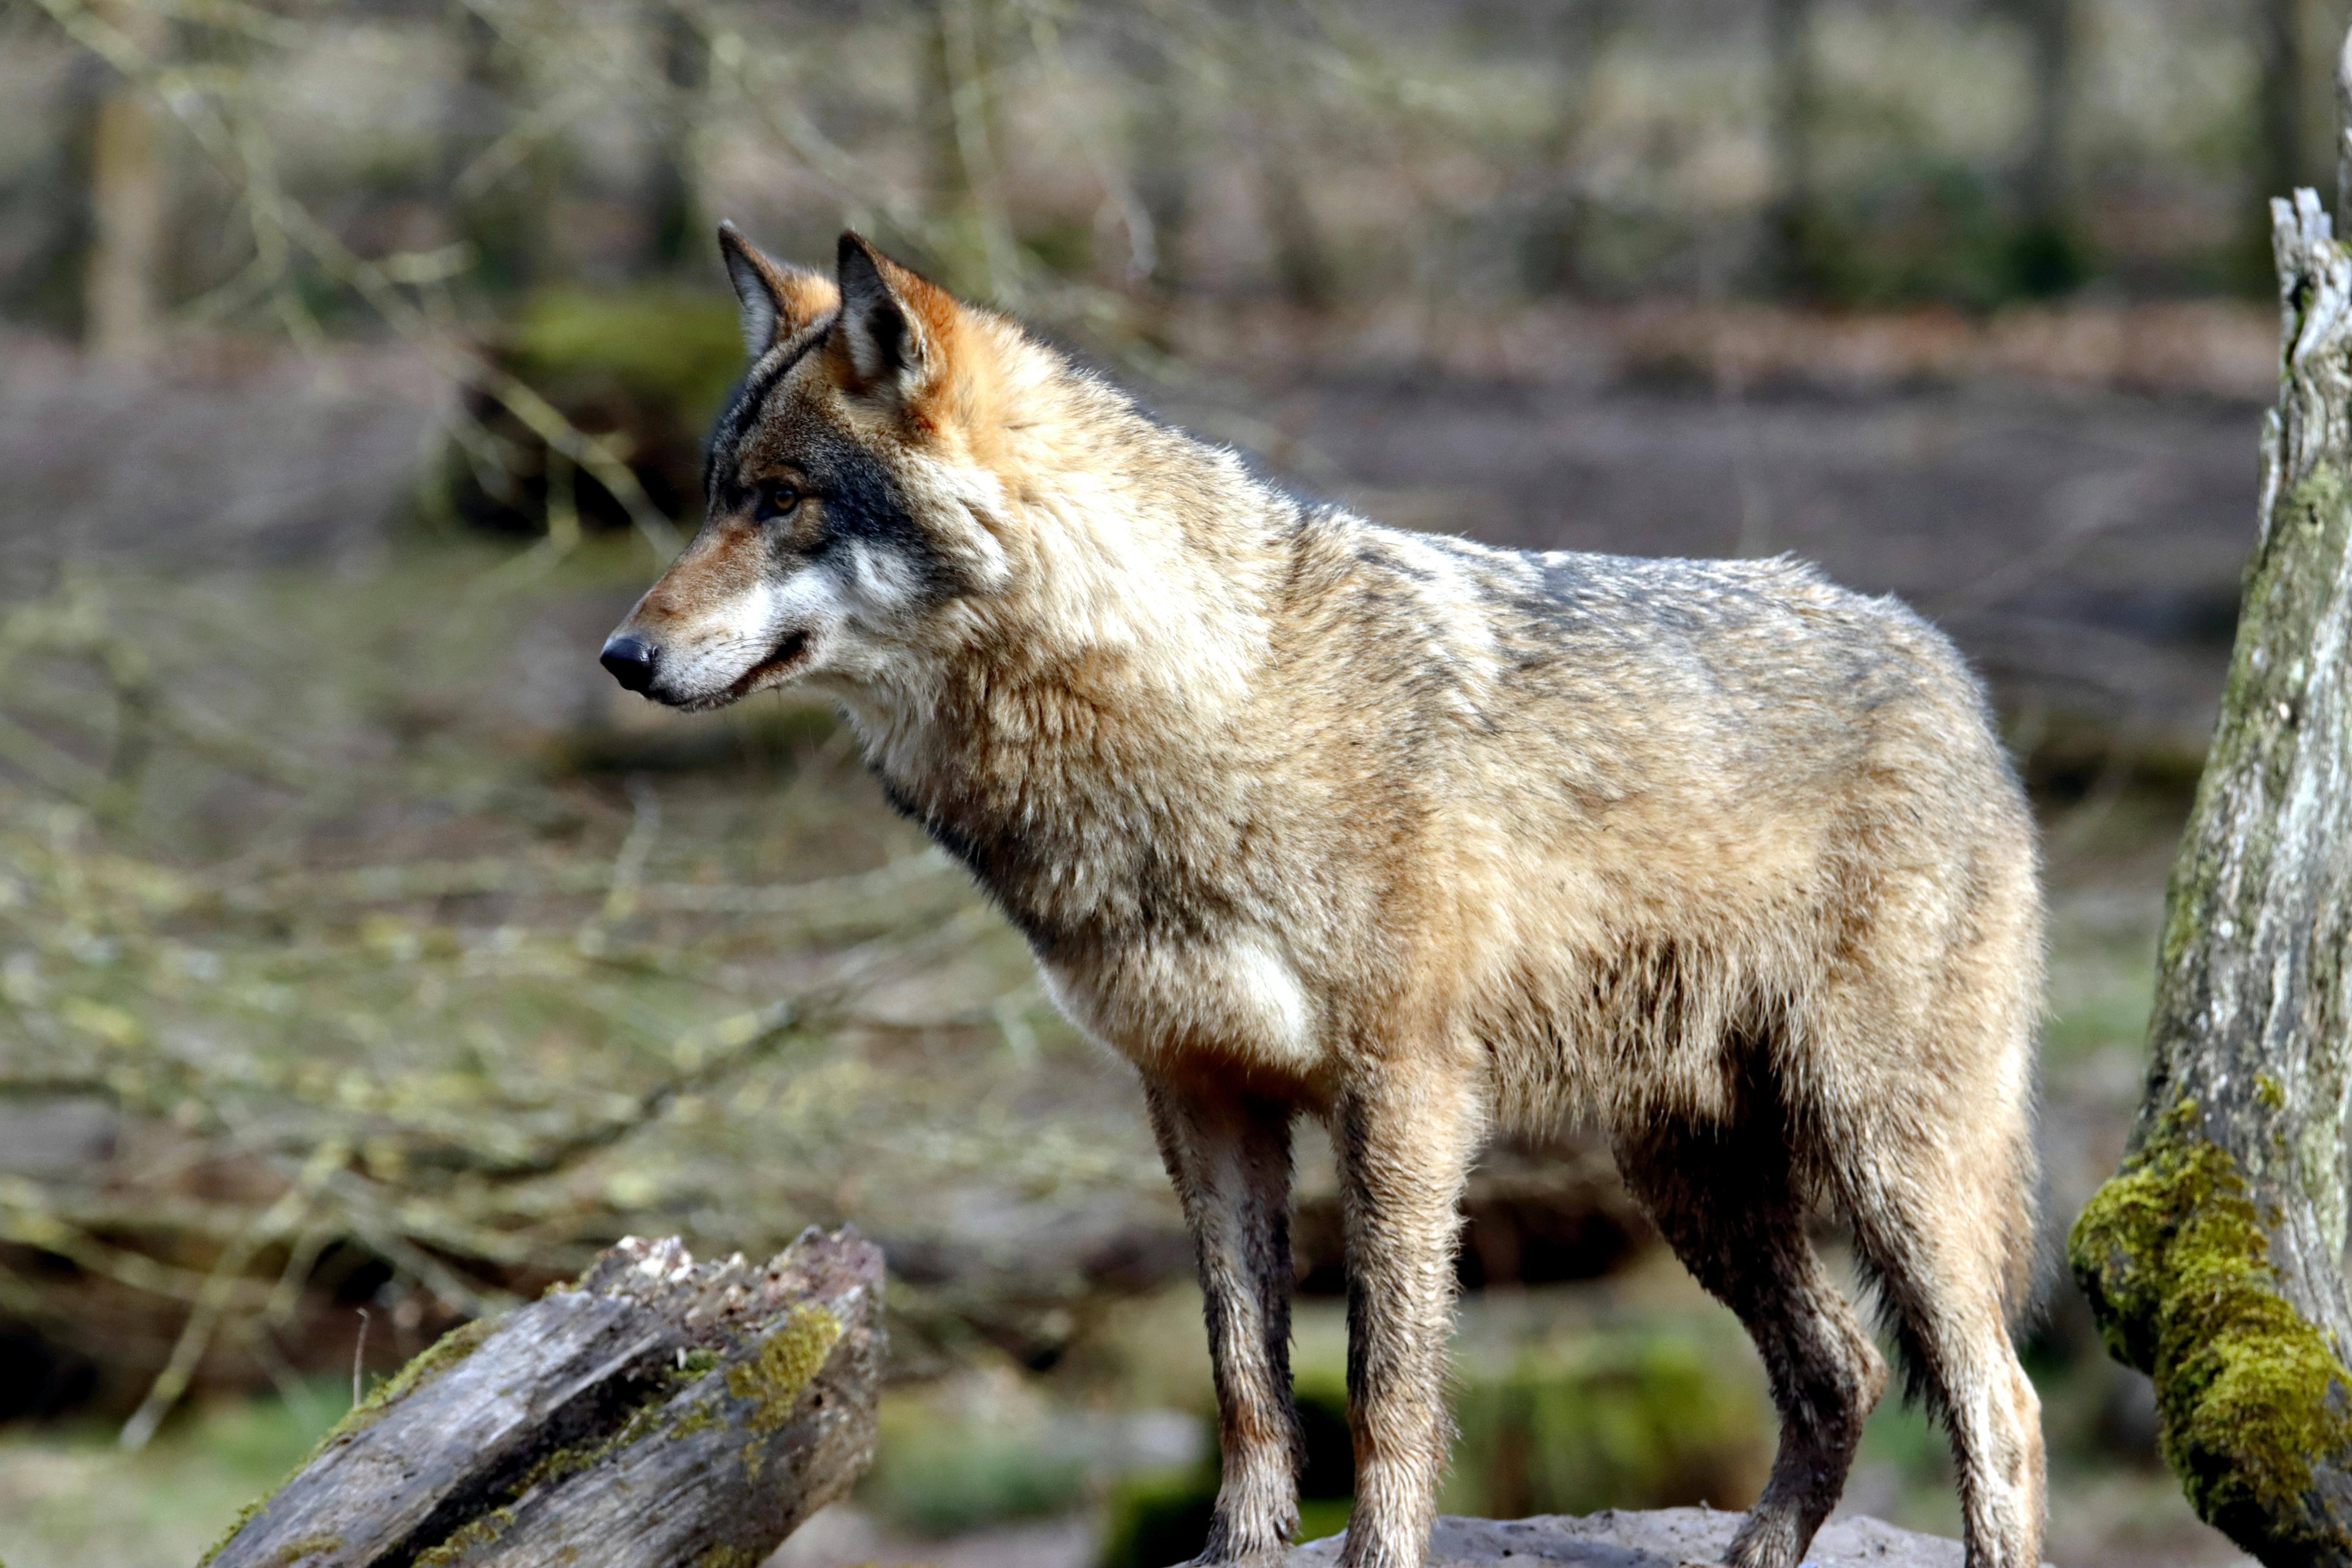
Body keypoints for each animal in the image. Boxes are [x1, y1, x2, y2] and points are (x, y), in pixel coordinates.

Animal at [599, 225, 2047, 1568]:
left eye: (782, 500)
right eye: (713, 497)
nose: (622, 655)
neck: (1199, 705)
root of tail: (1952, 670)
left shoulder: (1405, 1092)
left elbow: (1382, 1380)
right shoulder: (1198, 1093)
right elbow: (1244, 1371)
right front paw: (1238, 1552)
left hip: (1878, 1153)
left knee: (1999, 1401)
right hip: (1689, 1173)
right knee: (1844, 1373)